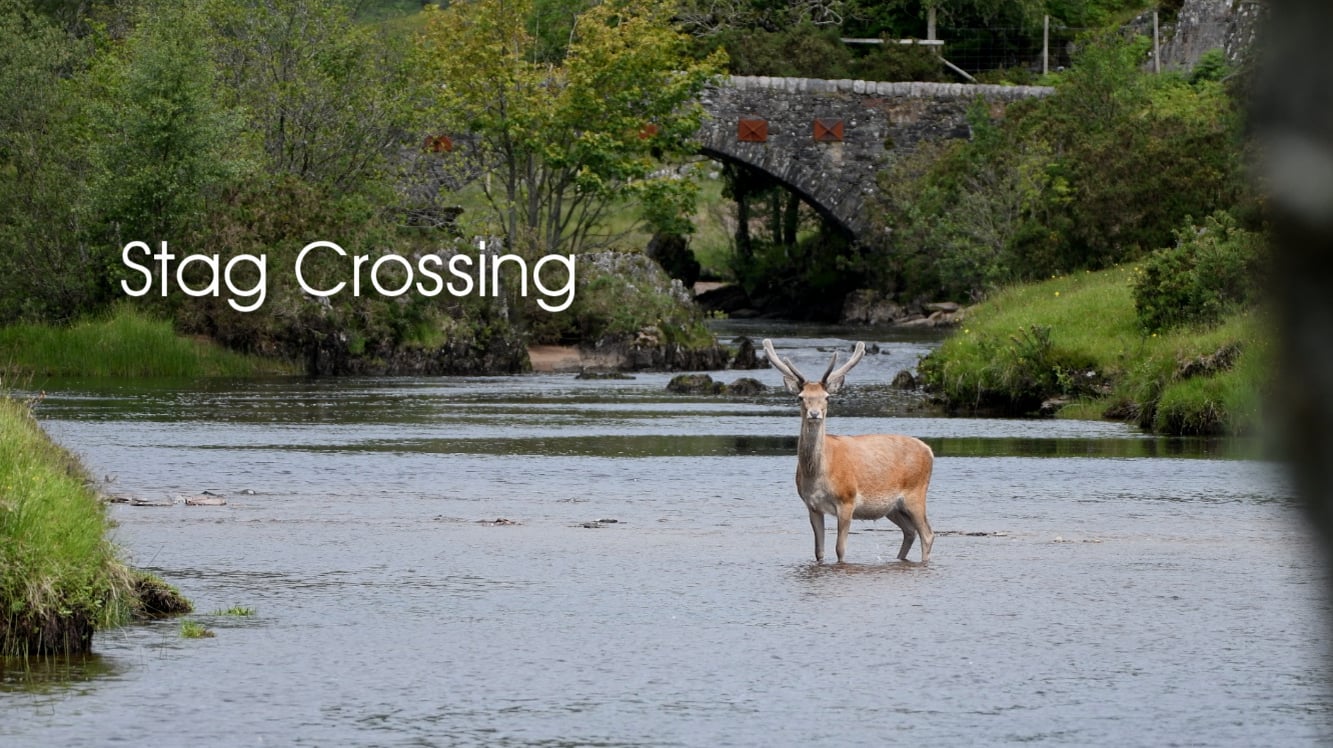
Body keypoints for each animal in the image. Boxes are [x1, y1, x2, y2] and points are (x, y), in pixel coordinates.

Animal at [763, 339, 935, 564]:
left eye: (827, 397)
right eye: (800, 397)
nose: (814, 414)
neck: (818, 474)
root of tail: (929, 451)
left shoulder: (847, 500)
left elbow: (840, 548)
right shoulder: (812, 505)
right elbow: (819, 551)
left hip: (916, 494)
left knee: (927, 533)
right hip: (893, 507)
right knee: (910, 531)